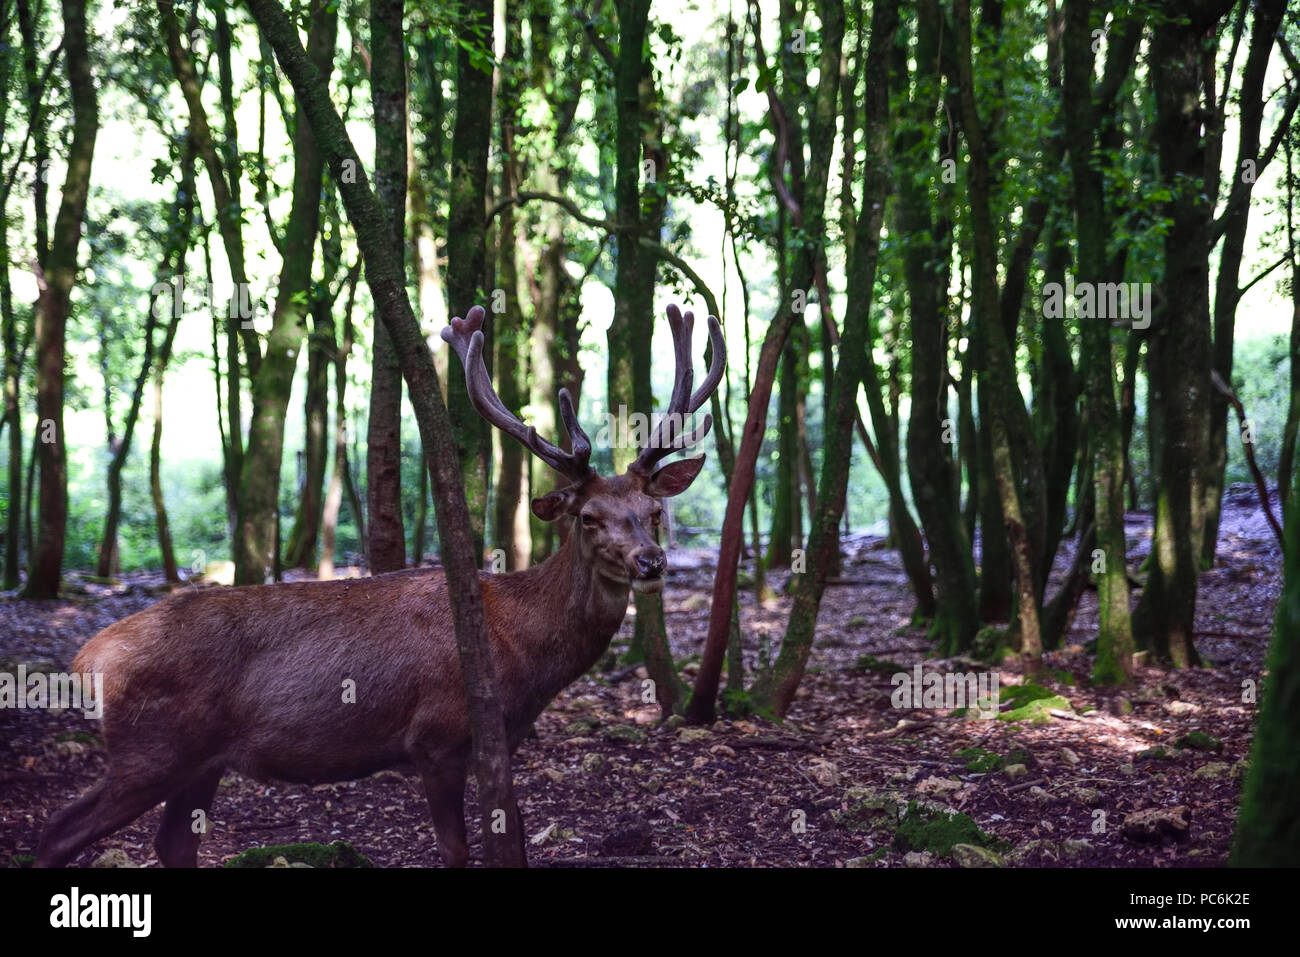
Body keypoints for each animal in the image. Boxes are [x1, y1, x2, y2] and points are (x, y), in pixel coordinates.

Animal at [35, 302, 725, 868]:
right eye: (588, 517)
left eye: (652, 510)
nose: (650, 562)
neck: (520, 648)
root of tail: (86, 657)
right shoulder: (435, 736)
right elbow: (456, 850)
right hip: (151, 748)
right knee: (59, 831)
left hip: (198, 762)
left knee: (173, 843)